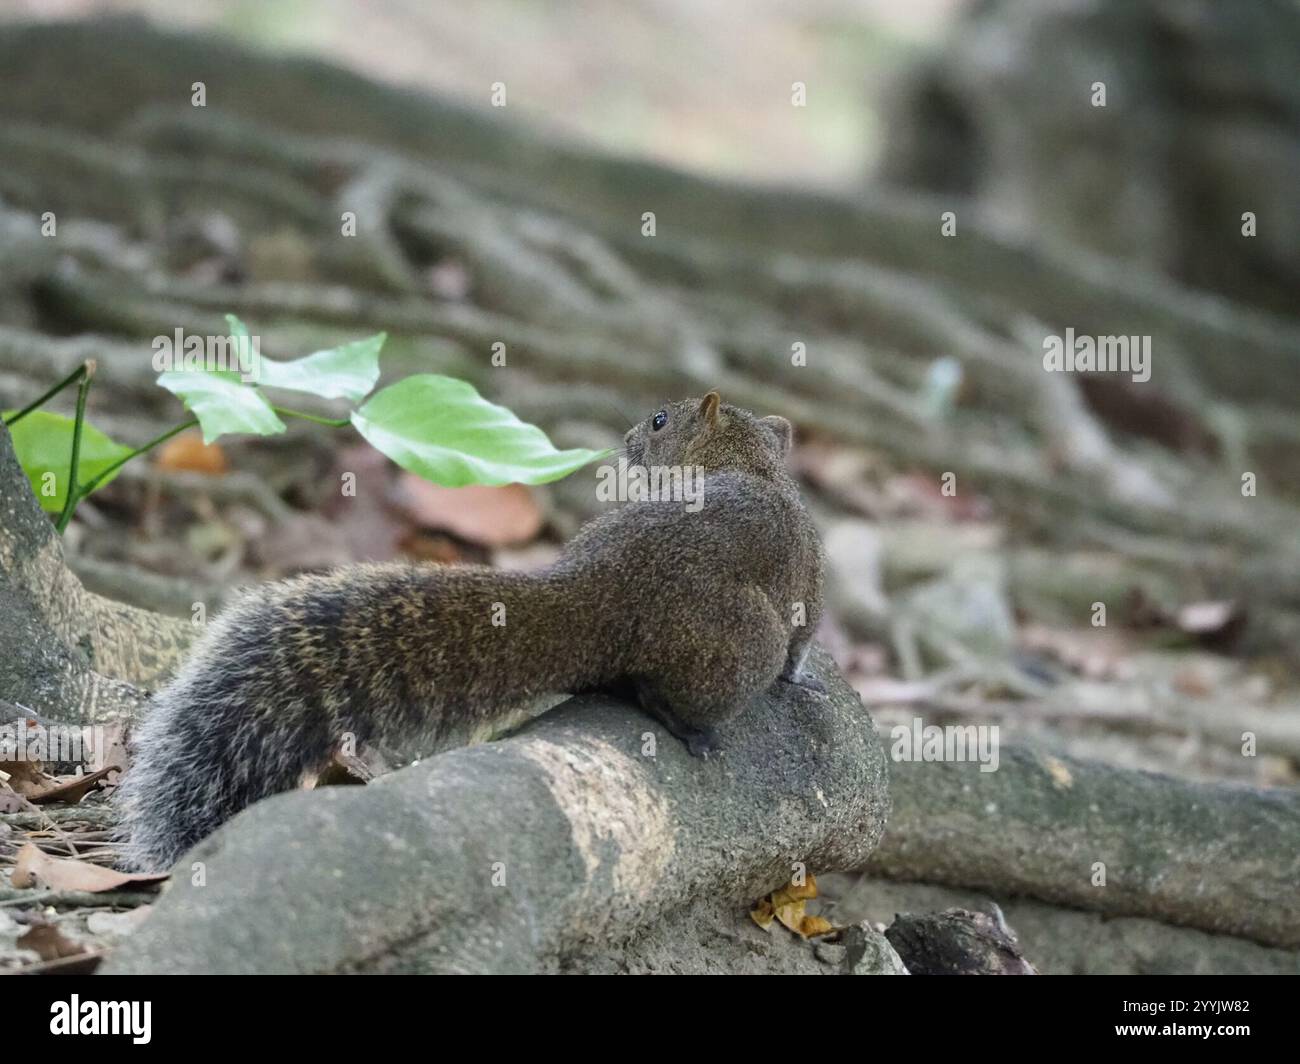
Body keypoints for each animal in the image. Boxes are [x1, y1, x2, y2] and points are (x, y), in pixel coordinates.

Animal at [116, 392, 825, 870]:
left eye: (658, 422)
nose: (627, 436)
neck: (750, 463)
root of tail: (599, 593)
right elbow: (801, 643)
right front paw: (802, 682)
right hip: (739, 642)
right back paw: (691, 727)